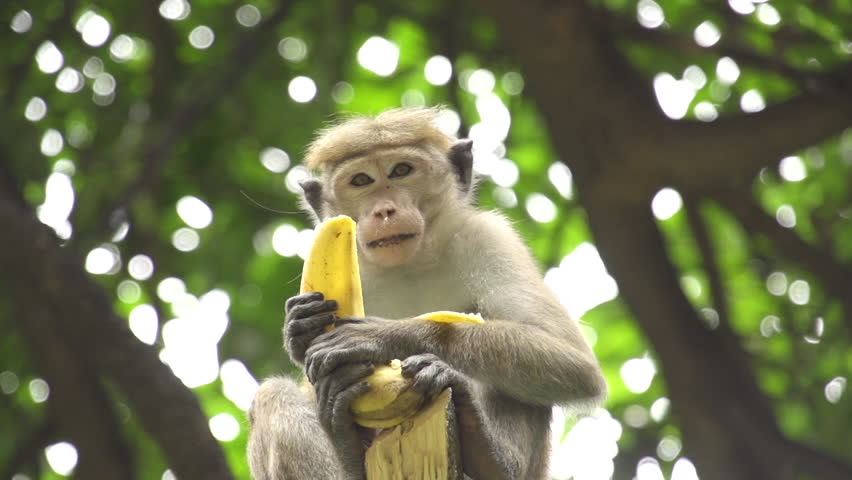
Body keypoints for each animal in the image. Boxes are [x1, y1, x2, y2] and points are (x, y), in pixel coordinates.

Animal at [247, 107, 607, 480]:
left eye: (401, 170)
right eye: (361, 181)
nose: (384, 210)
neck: (409, 265)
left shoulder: (488, 236)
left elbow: (571, 361)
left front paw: (385, 336)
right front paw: (300, 327)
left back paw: (490, 454)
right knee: (273, 396)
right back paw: (345, 441)